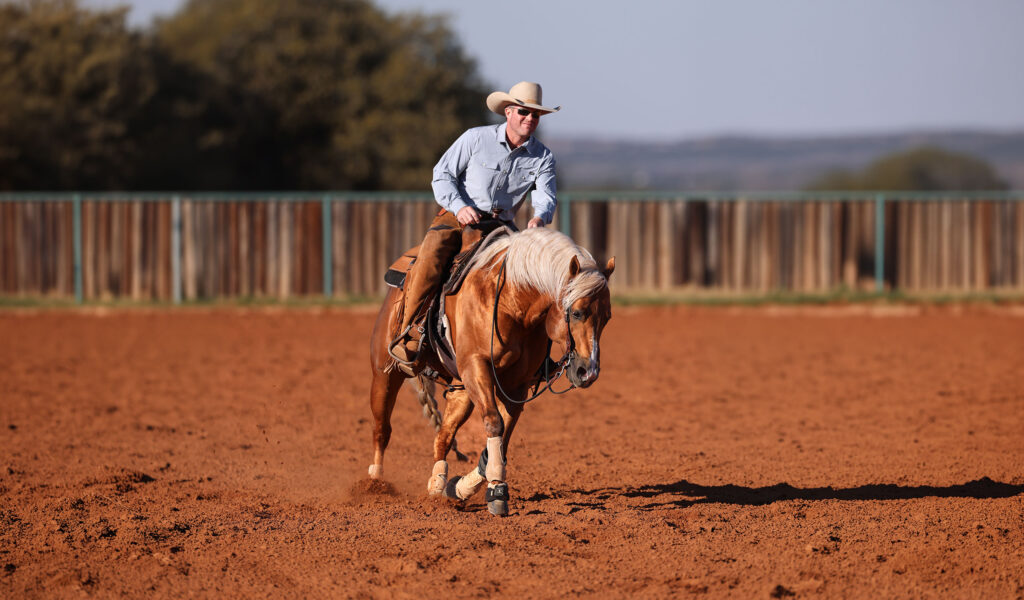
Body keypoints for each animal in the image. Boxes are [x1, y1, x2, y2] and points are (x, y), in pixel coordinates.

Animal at [367, 226, 614, 516]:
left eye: (607, 317)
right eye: (576, 312)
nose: (589, 372)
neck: (511, 302)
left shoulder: (516, 386)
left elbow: (502, 439)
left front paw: (463, 486)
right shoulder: (477, 366)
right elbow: (494, 423)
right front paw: (496, 491)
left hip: (461, 390)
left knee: (443, 436)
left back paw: (437, 485)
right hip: (385, 374)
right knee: (382, 429)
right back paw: (374, 485)